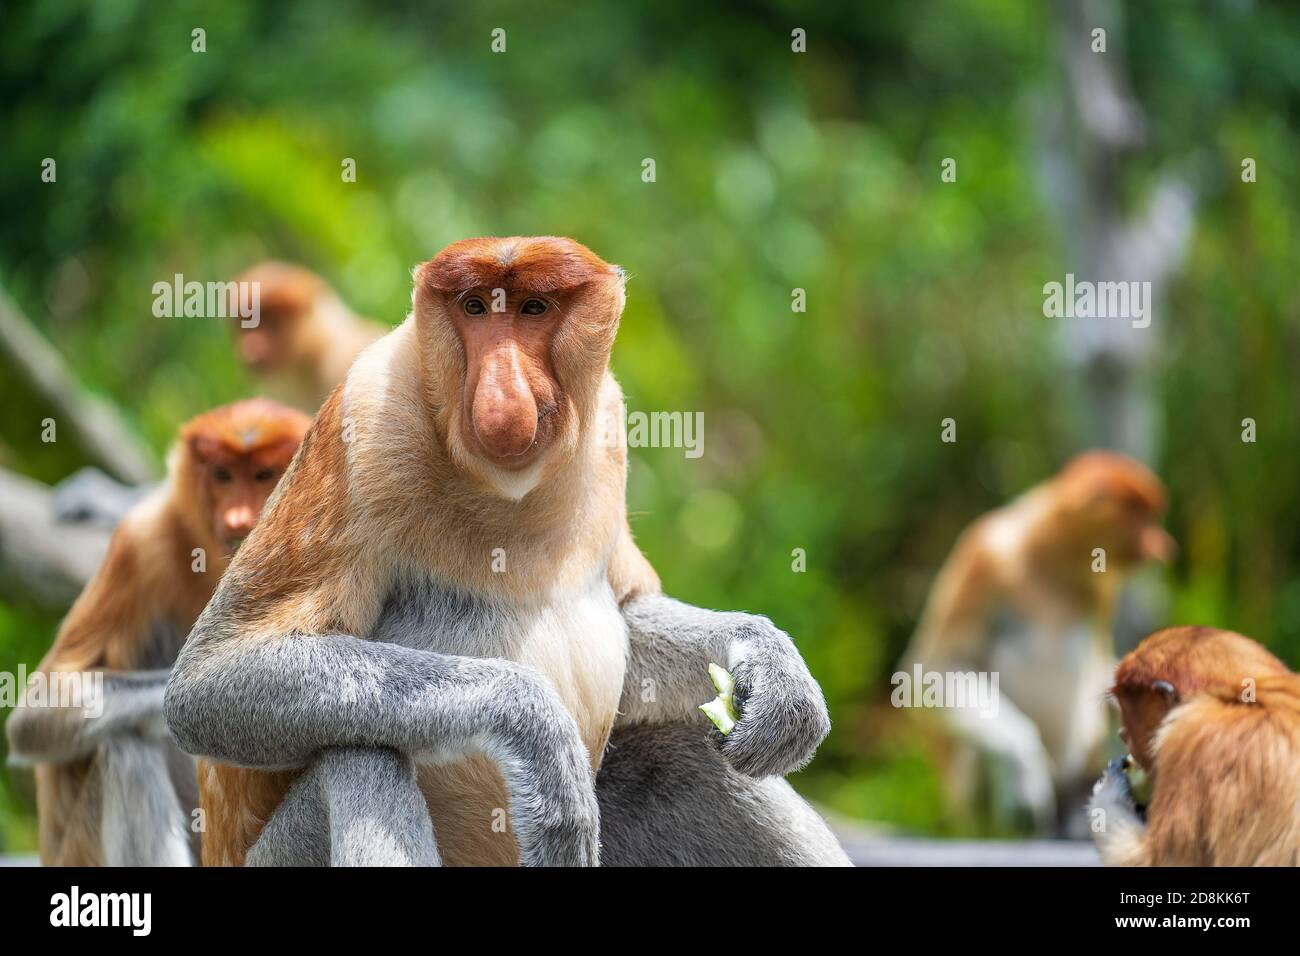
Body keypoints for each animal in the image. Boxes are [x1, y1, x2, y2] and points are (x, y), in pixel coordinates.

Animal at [5, 398, 311, 866]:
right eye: (222, 475)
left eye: (264, 475)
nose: (238, 519)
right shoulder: (142, 542)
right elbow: (38, 708)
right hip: (79, 849)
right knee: (125, 748)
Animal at [899, 451, 1176, 835]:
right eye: (1140, 517)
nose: (1162, 545)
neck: (1051, 558)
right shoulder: (985, 556)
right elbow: (933, 668)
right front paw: (1022, 770)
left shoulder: (1102, 591)